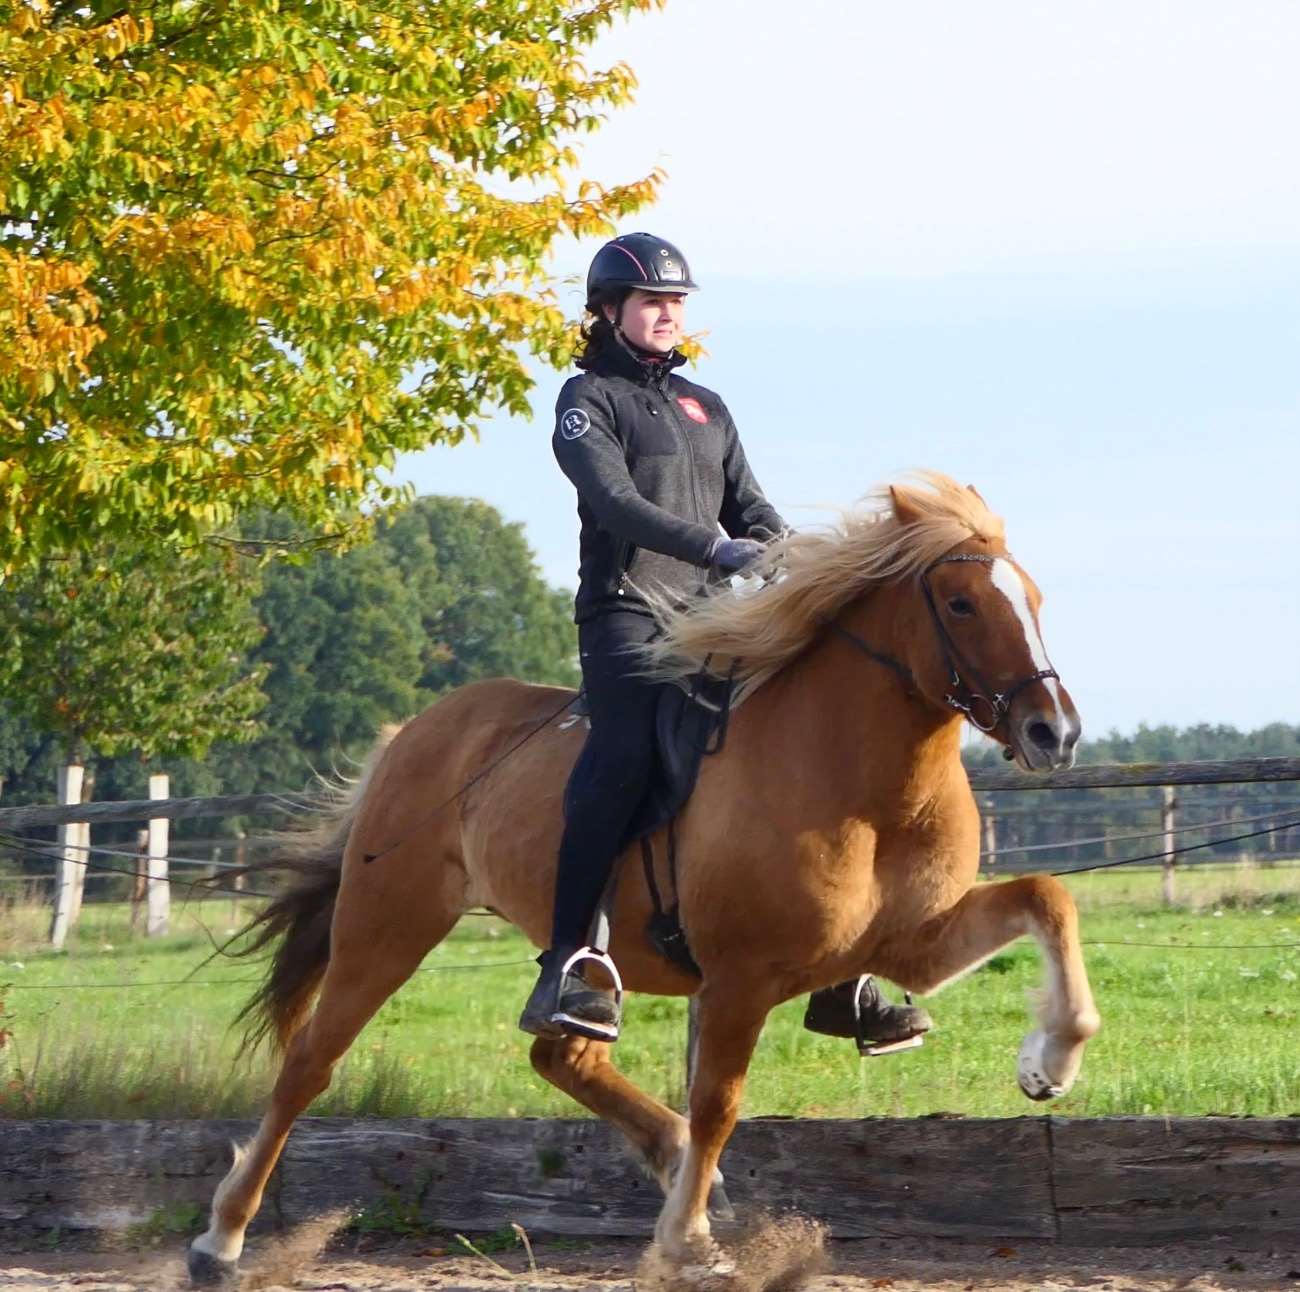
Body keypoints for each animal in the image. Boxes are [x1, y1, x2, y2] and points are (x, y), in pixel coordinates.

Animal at [188, 472, 1100, 1285]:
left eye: (1035, 600)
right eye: (962, 604)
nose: (1052, 733)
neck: (861, 779)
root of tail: (414, 731)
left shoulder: (910, 944)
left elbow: (1047, 899)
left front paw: (1049, 1064)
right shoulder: (739, 979)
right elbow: (720, 1101)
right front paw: (686, 1245)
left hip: (570, 963)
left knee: (563, 1057)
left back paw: (675, 1159)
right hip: (388, 926)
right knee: (308, 1065)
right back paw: (219, 1242)